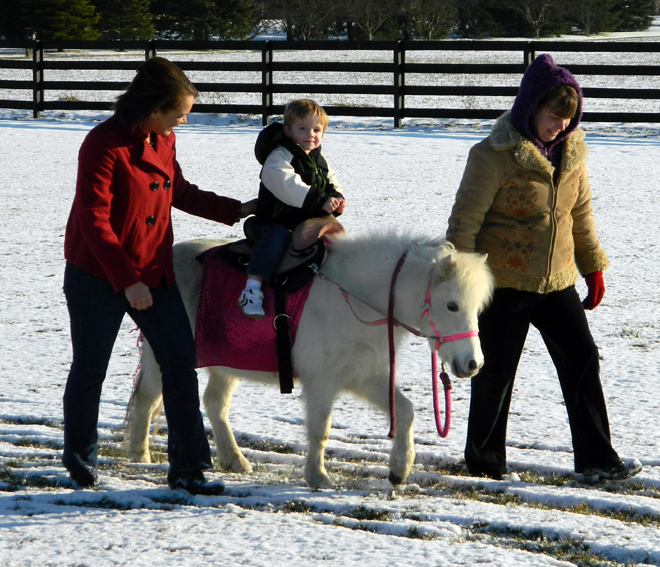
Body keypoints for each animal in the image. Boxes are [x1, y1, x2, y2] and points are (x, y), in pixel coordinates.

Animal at [124, 231, 493, 488]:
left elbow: (405, 412)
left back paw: (234, 460)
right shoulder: (322, 383)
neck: (354, 300)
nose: (473, 365)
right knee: (147, 400)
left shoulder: (365, 377)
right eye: (452, 305)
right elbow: (320, 430)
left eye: (477, 308)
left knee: (214, 404)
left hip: (225, 364)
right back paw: (141, 456)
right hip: (161, 356)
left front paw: (399, 470)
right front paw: (317, 476)